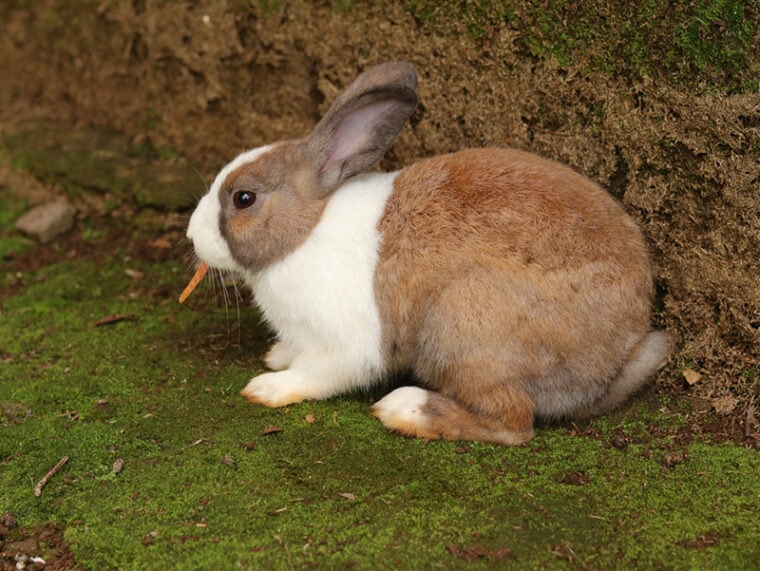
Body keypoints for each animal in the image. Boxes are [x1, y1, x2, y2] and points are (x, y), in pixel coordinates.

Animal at [185, 61, 671, 445]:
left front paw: (268, 386)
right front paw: (277, 355)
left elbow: (318, 373)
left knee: (514, 422)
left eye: (243, 199)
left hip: (462, 325)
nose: (191, 236)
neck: (307, 230)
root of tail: (617, 358)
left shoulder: (348, 345)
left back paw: (406, 410)